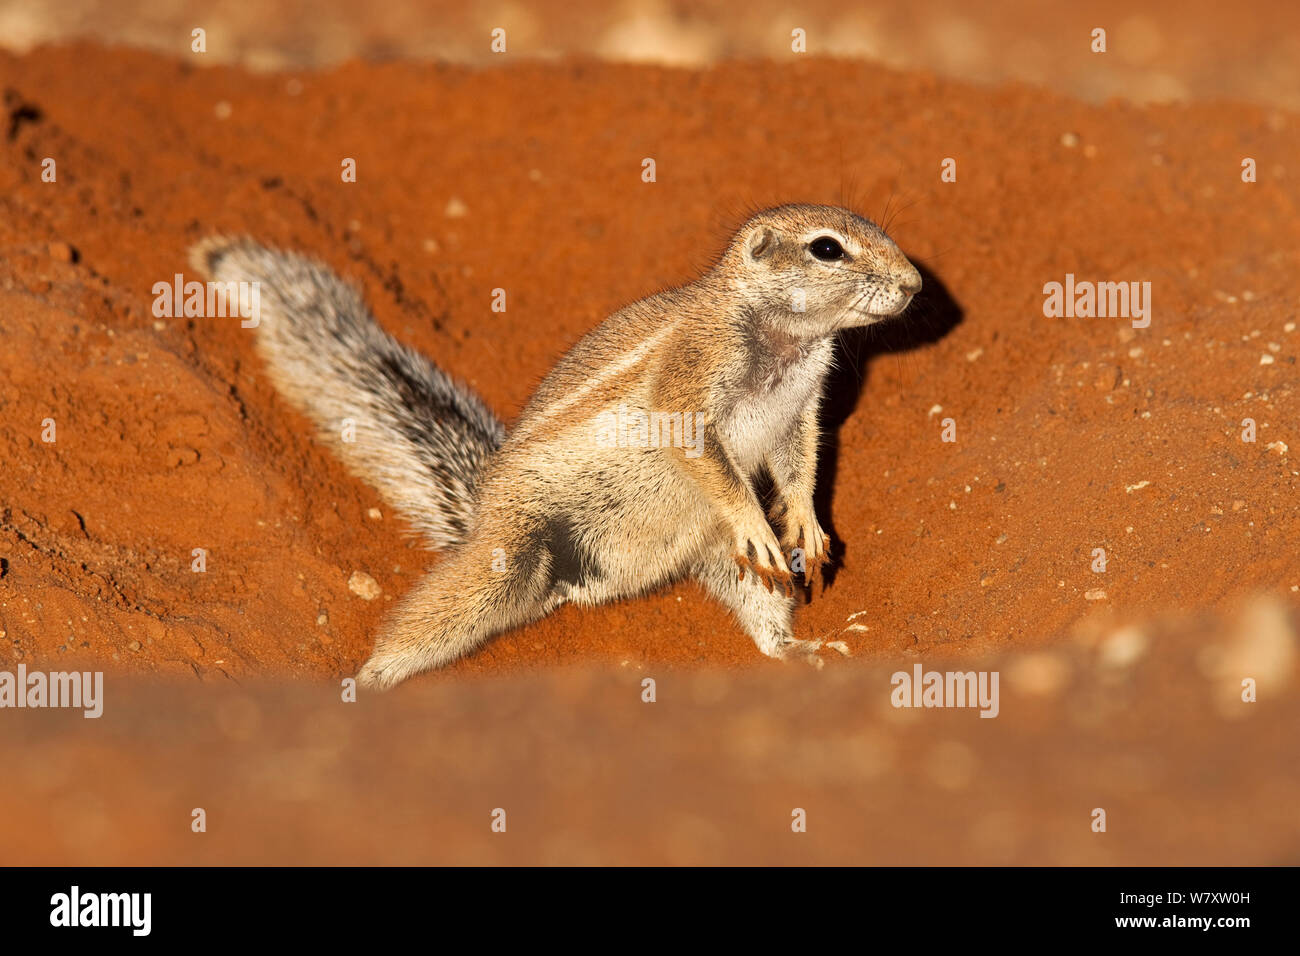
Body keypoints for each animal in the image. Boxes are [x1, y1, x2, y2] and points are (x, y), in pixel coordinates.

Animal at [189, 204, 921, 689]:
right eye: (827, 249)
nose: (915, 284)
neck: (787, 343)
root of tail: (482, 512)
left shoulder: (800, 413)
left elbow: (800, 468)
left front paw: (806, 528)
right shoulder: (689, 385)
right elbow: (710, 459)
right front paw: (760, 519)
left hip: (715, 555)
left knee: (762, 612)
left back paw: (798, 650)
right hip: (507, 561)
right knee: (423, 622)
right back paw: (368, 681)